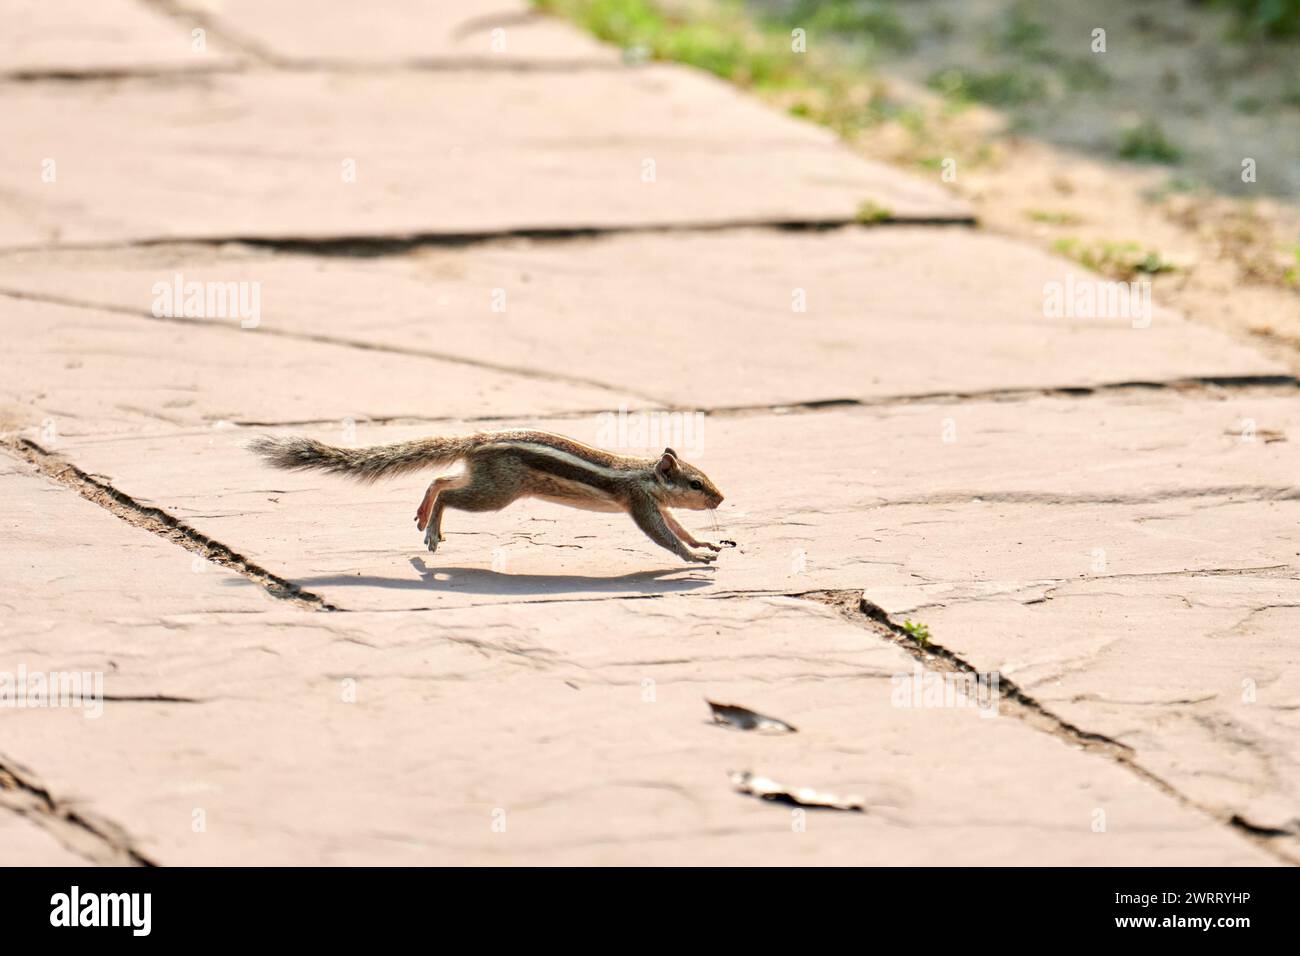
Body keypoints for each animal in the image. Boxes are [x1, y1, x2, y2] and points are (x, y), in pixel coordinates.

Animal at [249, 430, 728, 564]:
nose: (721, 499)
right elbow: (663, 536)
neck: (644, 474)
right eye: (696, 484)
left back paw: (425, 518)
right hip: (496, 494)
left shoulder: (656, 505)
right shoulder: (640, 504)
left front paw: (704, 543)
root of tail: (476, 441)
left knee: (441, 478)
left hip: (486, 485)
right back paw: (430, 527)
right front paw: (693, 558)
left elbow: (678, 527)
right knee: (446, 490)